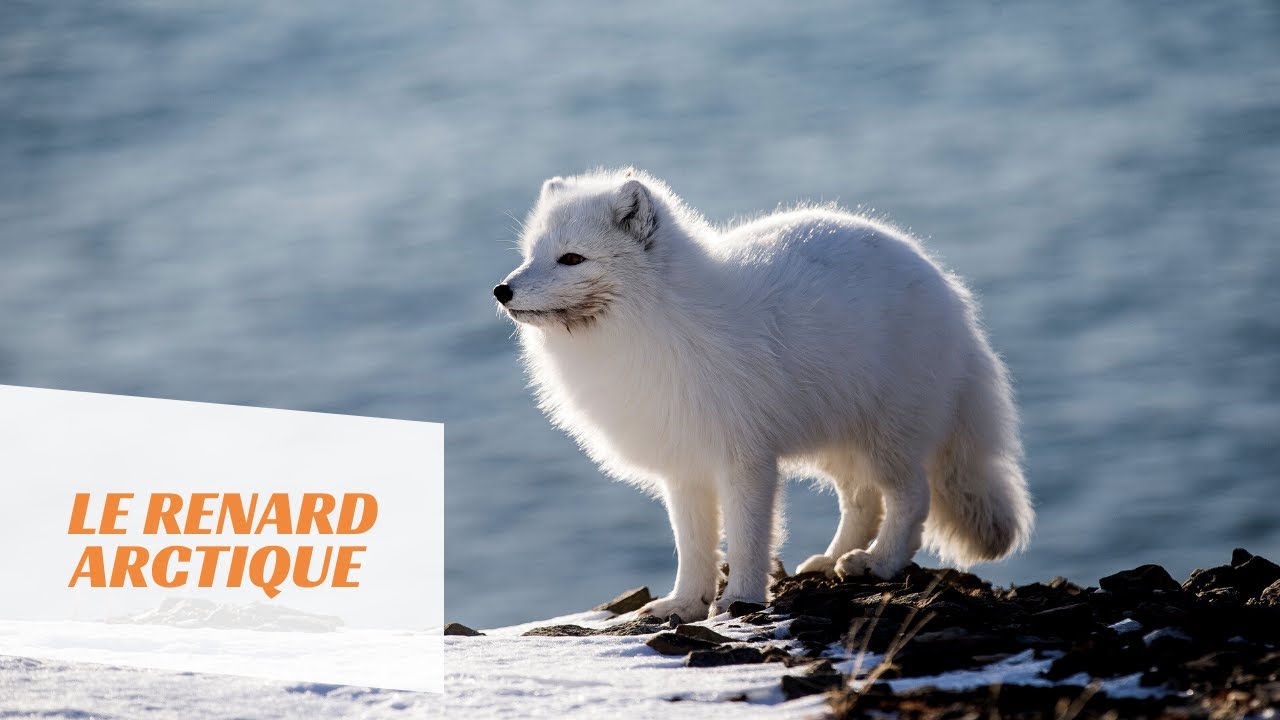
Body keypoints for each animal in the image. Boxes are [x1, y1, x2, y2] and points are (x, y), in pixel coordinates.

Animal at [495, 168, 1033, 621]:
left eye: (571, 258)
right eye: (530, 254)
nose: (502, 290)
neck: (656, 325)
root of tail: (951, 294)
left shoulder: (745, 459)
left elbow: (747, 539)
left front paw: (741, 601)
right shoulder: (684, 466)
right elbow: (693, 546)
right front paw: (684, 604)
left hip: (888, 434)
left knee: (910, 498)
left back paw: (876, 563)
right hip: (839, 441)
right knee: (862, 500)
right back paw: (830, 560)